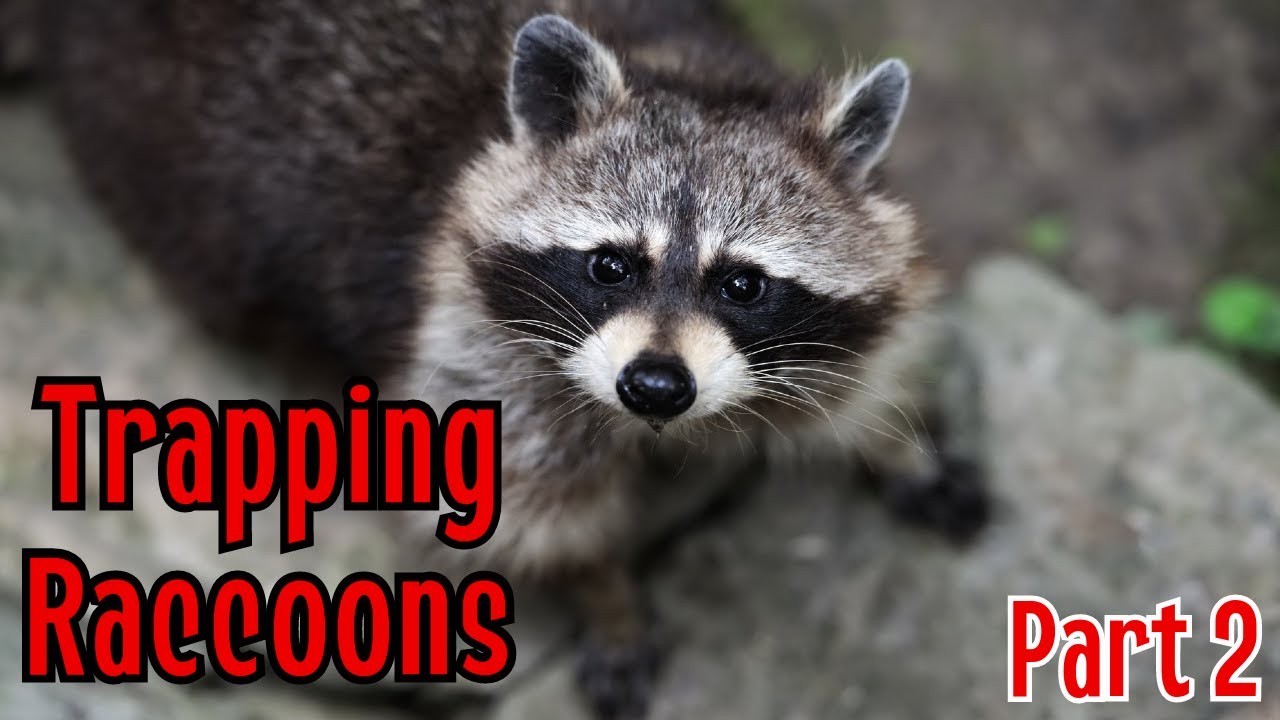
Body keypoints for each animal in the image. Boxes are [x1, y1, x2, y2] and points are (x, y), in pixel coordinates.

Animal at [41, 1, 988, 717]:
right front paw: (603, 591)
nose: (655, 386)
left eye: (743, 284)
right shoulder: (466, 340)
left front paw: (898, 441)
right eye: (611, 266)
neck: (689, 75)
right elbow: (527, 508)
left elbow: (864, 365)